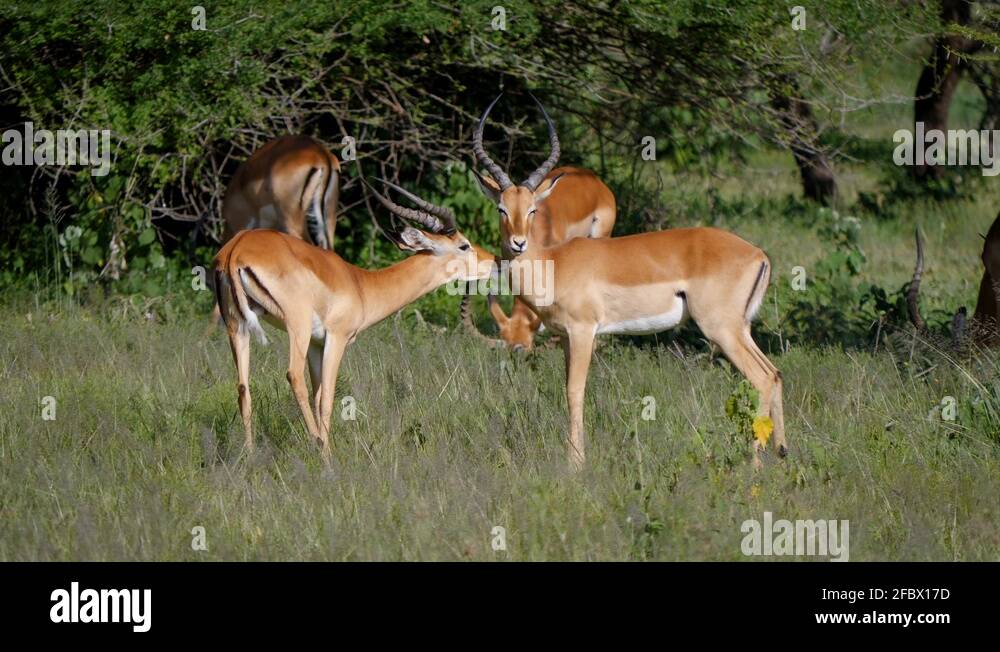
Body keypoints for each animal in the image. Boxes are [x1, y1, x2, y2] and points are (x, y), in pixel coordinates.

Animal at [213, 180, 495, 460]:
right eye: (464, 245)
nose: (493, 261)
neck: (360, 284)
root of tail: (236, 251)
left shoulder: (316, 344)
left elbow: (317, 395)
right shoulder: (336, 338)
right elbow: (326, 398)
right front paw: (327, 455)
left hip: (237, 327)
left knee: (243, 389)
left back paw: (250, 455)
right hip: (296, 327)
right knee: (293, 376)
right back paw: (315, 443)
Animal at [480, 99, 786, 471]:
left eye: (533, 210)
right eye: (501, 208)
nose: (518, 243)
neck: (553, 264)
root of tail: (758, 253)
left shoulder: (583, 332)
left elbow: (574, 390)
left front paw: (575, 464)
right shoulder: (566, 337)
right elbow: (567, 389)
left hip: (721, 329)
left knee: (761, 378)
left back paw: (753, 464)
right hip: (740, 329)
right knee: (774, 373)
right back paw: (782, 451)